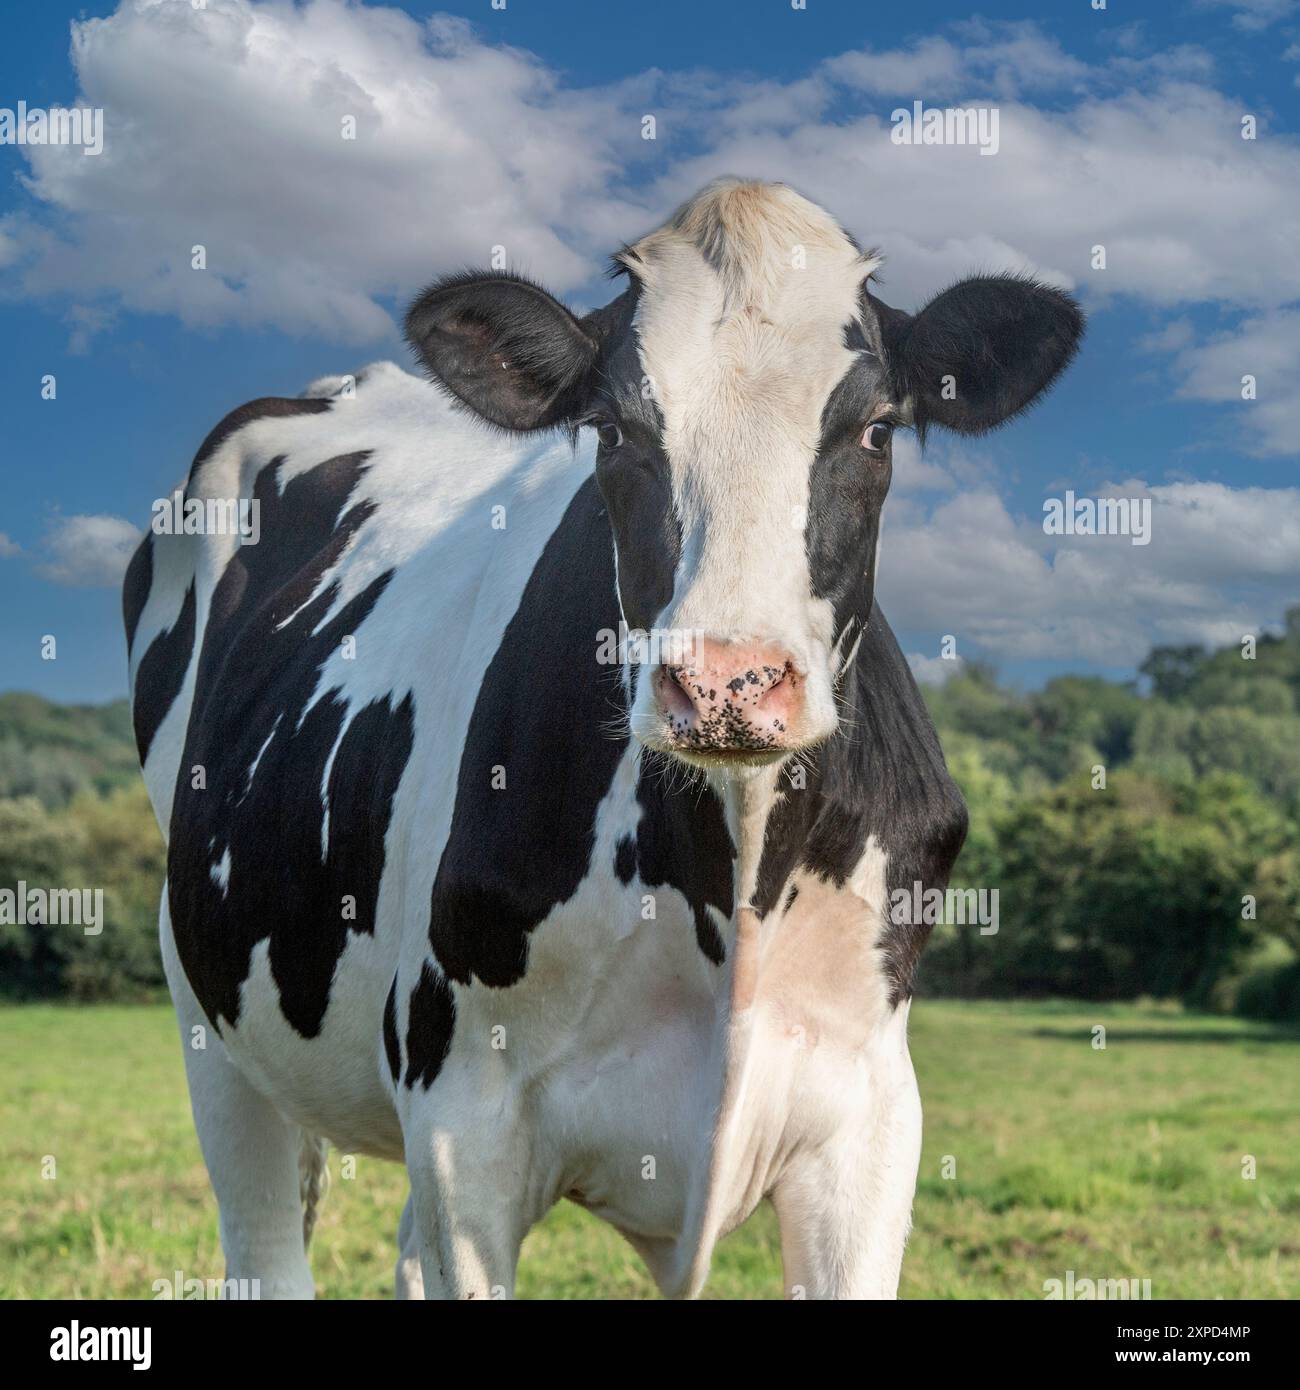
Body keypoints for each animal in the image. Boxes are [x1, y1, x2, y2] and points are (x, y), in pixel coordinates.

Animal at [124, 179, 1082, 1300]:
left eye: (877, 429)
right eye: (614, 431)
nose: (728, 683)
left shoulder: (871, 1110)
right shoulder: (463, 1116)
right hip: (210, 1016)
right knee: (264, 1239)